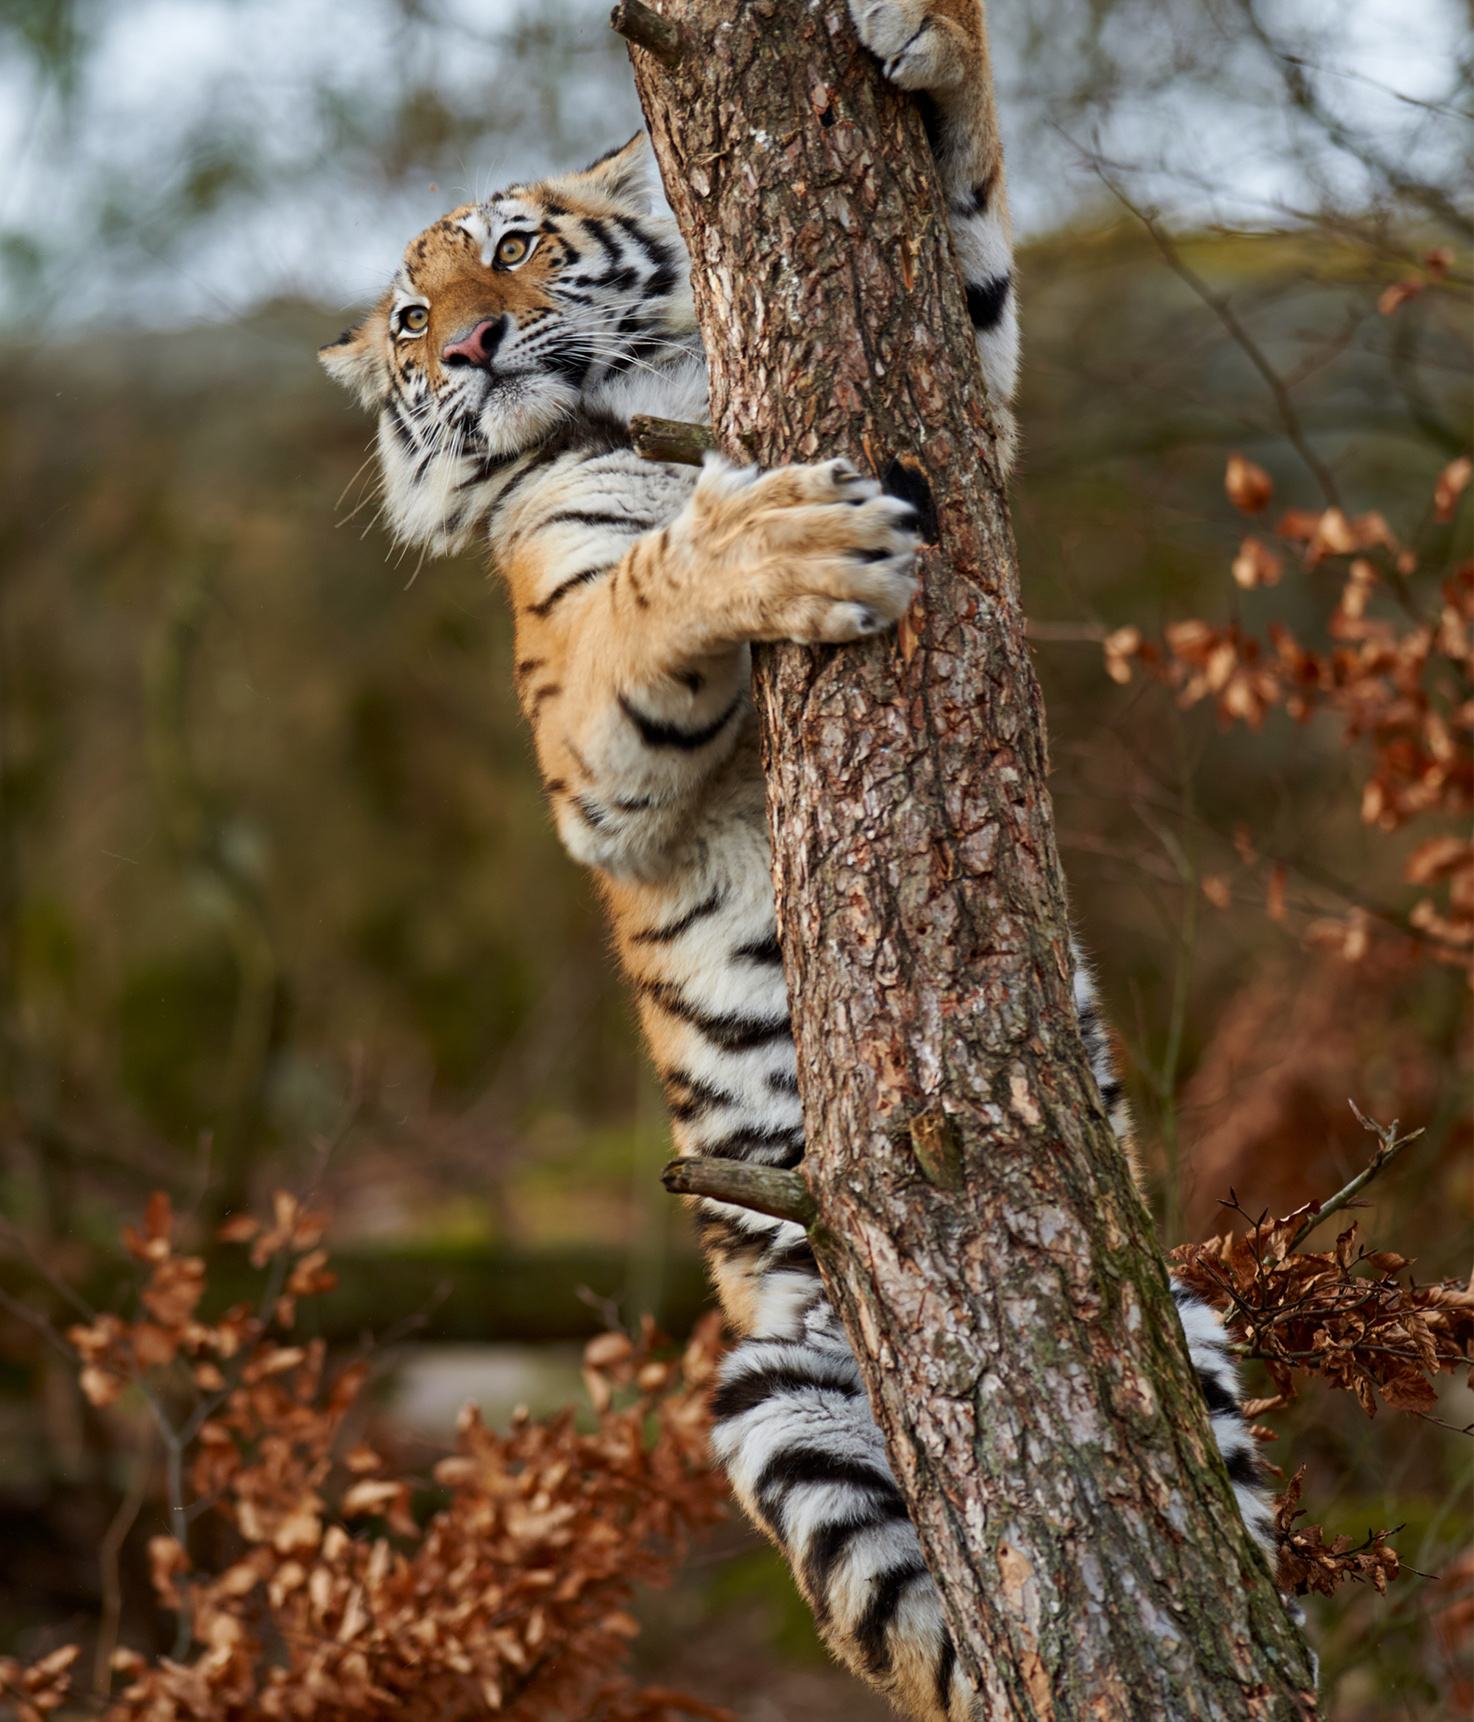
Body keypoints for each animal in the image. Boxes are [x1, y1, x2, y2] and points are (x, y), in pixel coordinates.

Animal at [319, 1, 1295, 1715]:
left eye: (514, 248)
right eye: (409, 317)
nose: (466, 352)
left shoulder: (971, 410)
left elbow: (974, 244)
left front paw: (924, 39)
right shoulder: (585, 741)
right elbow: (655, 584)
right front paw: (781, 541)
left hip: (1171, 1321)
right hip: (776, 1402)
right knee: (939, 1651)